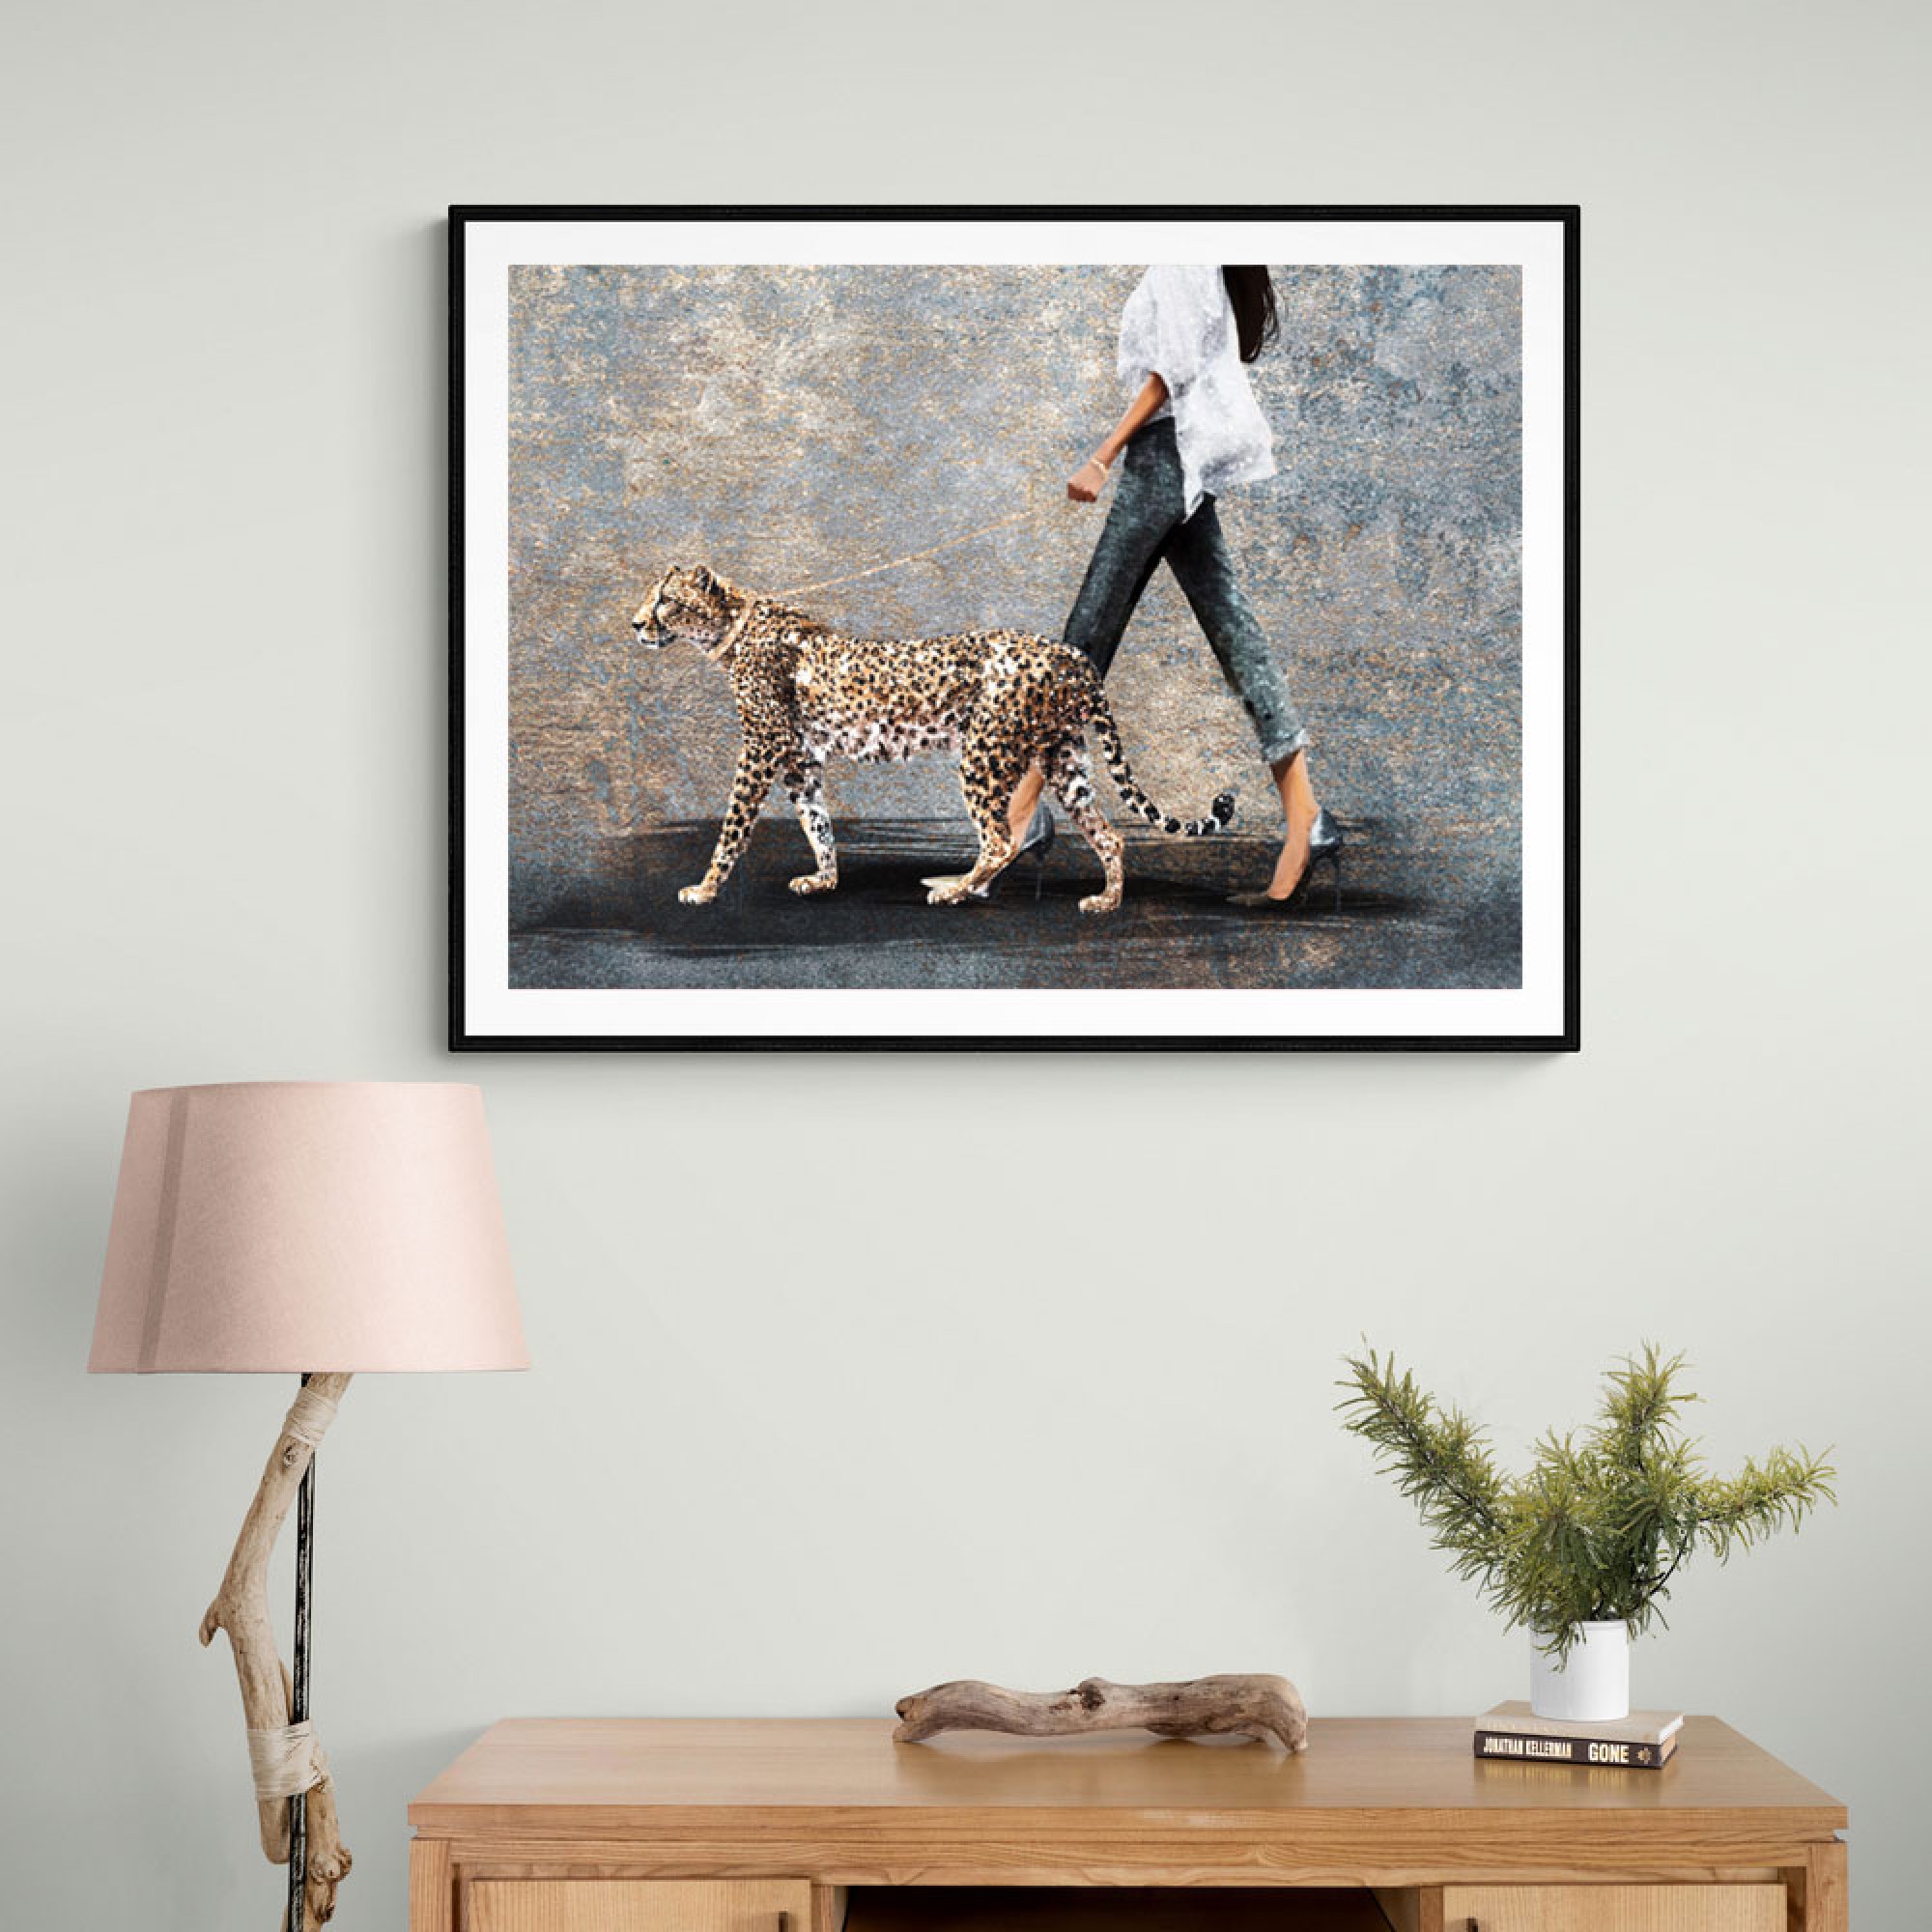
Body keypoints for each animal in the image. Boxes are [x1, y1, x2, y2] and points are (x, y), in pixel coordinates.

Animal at [631, 563, 1236, 916]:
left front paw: (704, 888)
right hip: (1064, 758)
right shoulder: (801, 759)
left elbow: (732, 828)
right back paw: (1107, 899)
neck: (731, 628)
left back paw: (957, 889)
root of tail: (1072, 655)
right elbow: (815, 822)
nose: (636, 623)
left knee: (1000, 838)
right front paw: (825, 879)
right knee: (1108, 834)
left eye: (665, 600)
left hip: (983, 755)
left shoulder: (760, 750)